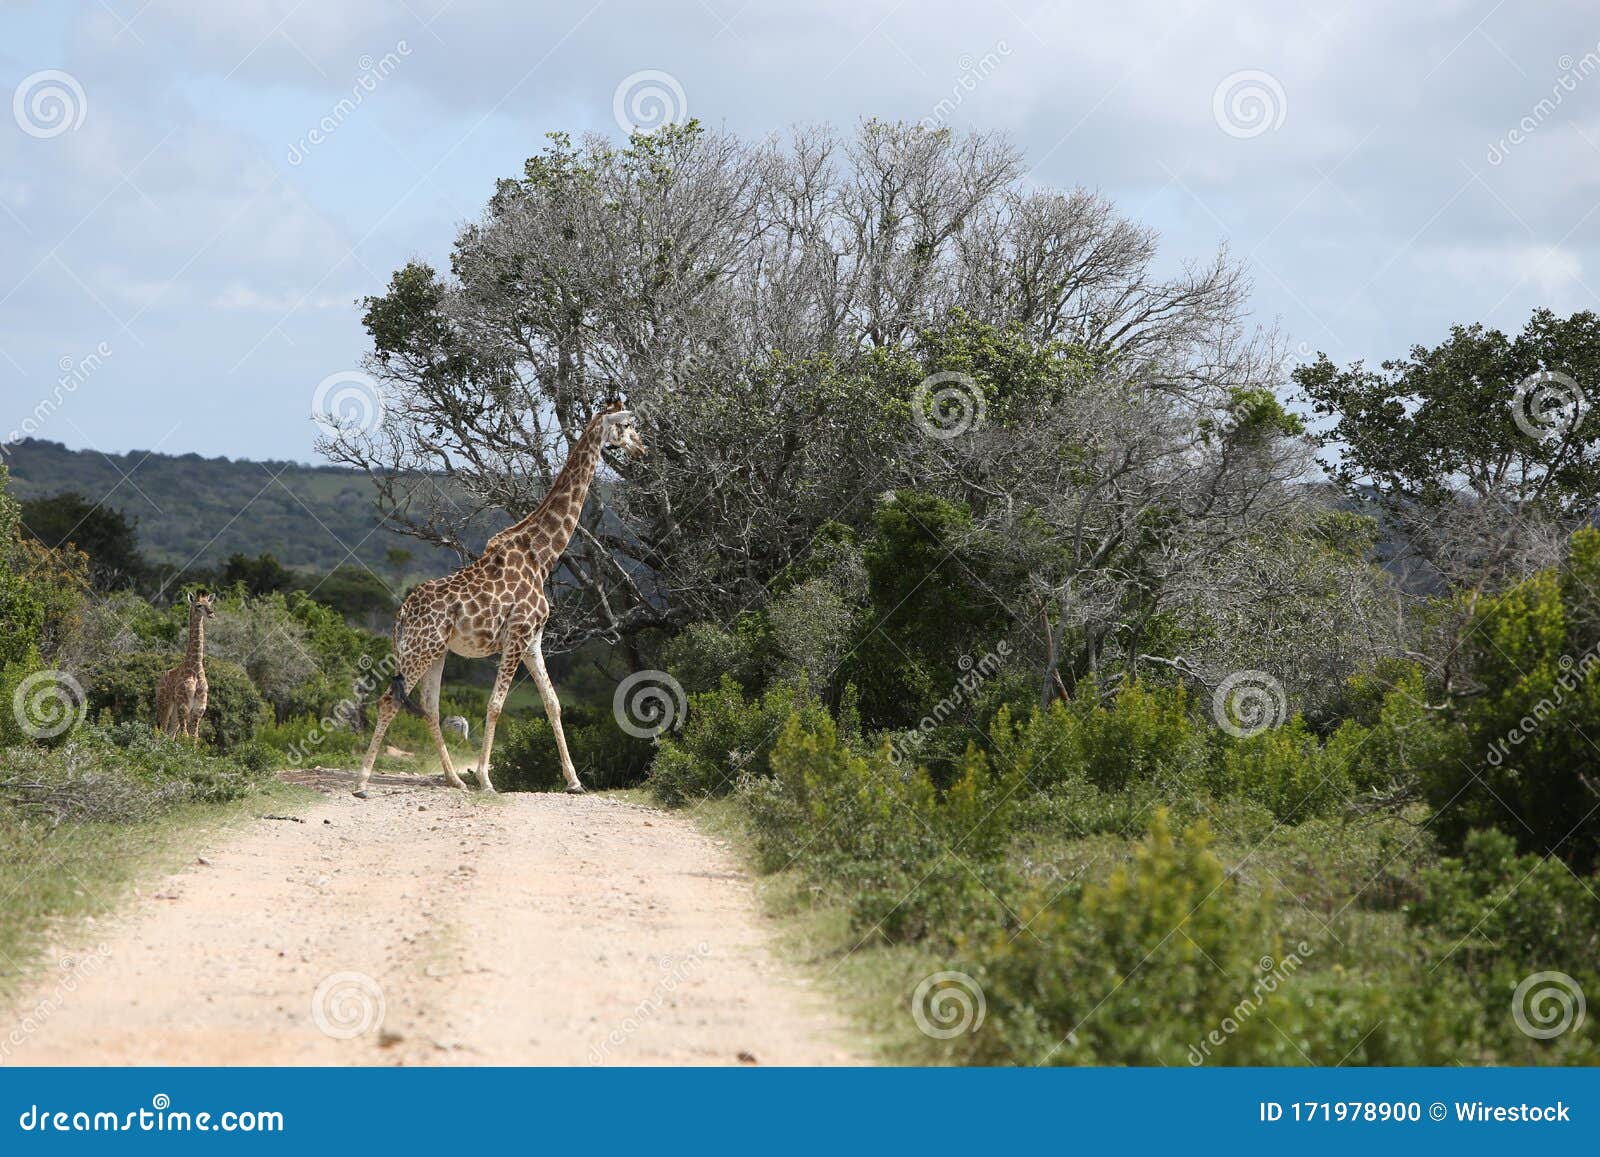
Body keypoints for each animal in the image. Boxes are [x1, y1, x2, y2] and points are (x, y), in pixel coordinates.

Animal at [156, 590, 215, 742]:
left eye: (210, 603)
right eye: (199, 605)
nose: (211, 613)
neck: (195, 669)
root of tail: (160, 680)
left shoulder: (199, 708)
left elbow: (194, 737)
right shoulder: (184, 705)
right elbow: (185, 735)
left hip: (176, 711)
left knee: (170, 733)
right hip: (165, 704)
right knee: (161, 729)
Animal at [354, 402, 647, 798]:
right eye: (628, 425)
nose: (642, 449)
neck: (542, 555)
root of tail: (401, 614)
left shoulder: (533, 640)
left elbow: (553, 703)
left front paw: (574, 781)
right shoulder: (517, 636)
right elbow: (495, 705)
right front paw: (486, 779)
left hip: (435, 651)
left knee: (430, 707)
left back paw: (454, 780)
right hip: (419, 650)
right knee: (389, 701)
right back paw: (363, 783)